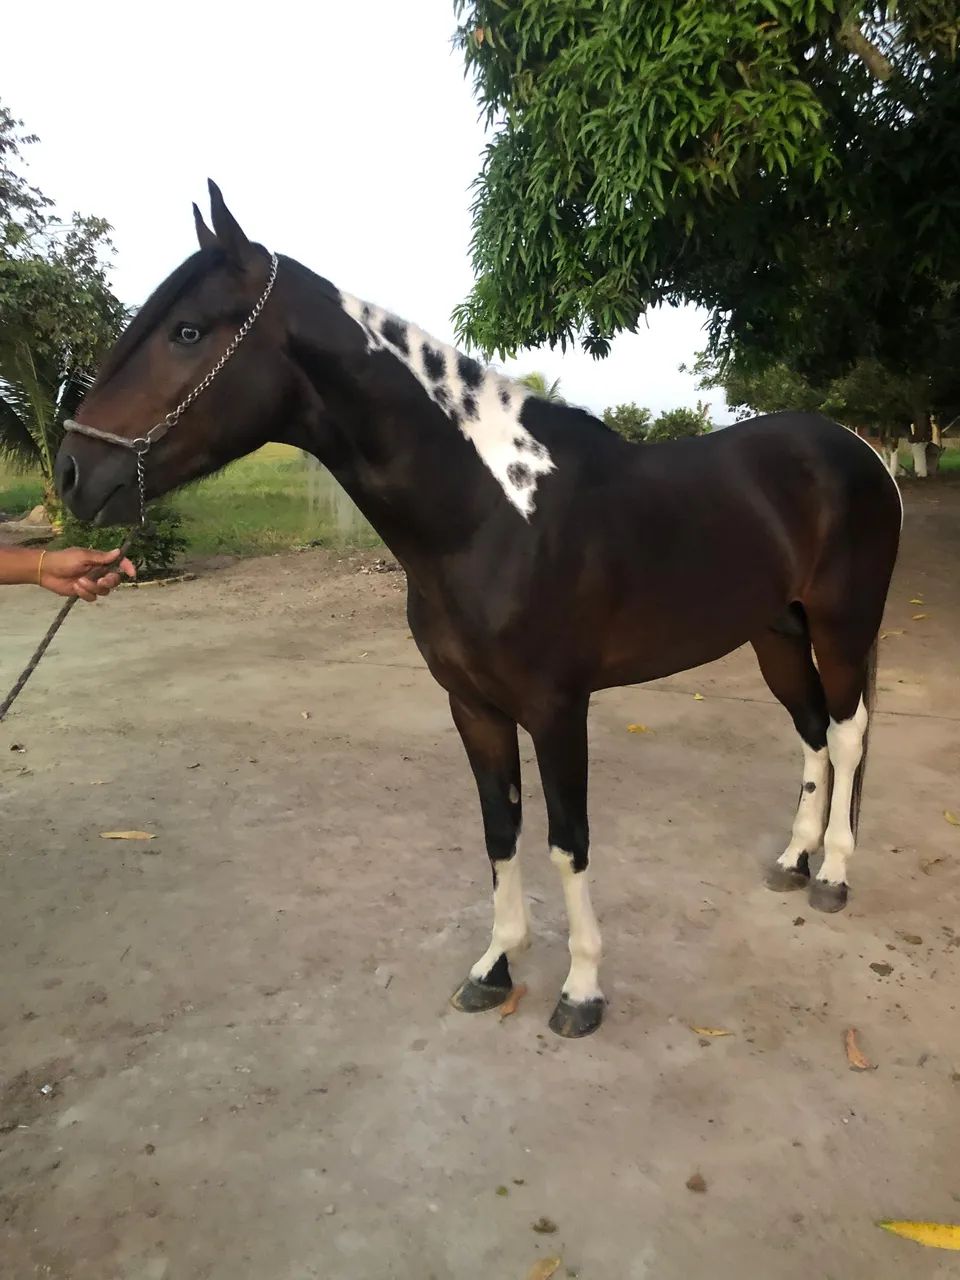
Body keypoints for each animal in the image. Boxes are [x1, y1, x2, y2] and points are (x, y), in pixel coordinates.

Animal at [55, 183, 902, 1038]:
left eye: (188, 332)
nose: (70, 472)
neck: (491, 512)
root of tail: (860, 450)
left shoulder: (558, 708)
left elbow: (567, 841)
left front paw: (581, 988)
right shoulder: (473, 706)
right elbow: (501, 832)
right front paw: (496, 967)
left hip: (840, 627)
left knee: (848, 733)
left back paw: (832, 873)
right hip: (776, 634)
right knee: (812, 734)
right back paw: (793, 861)